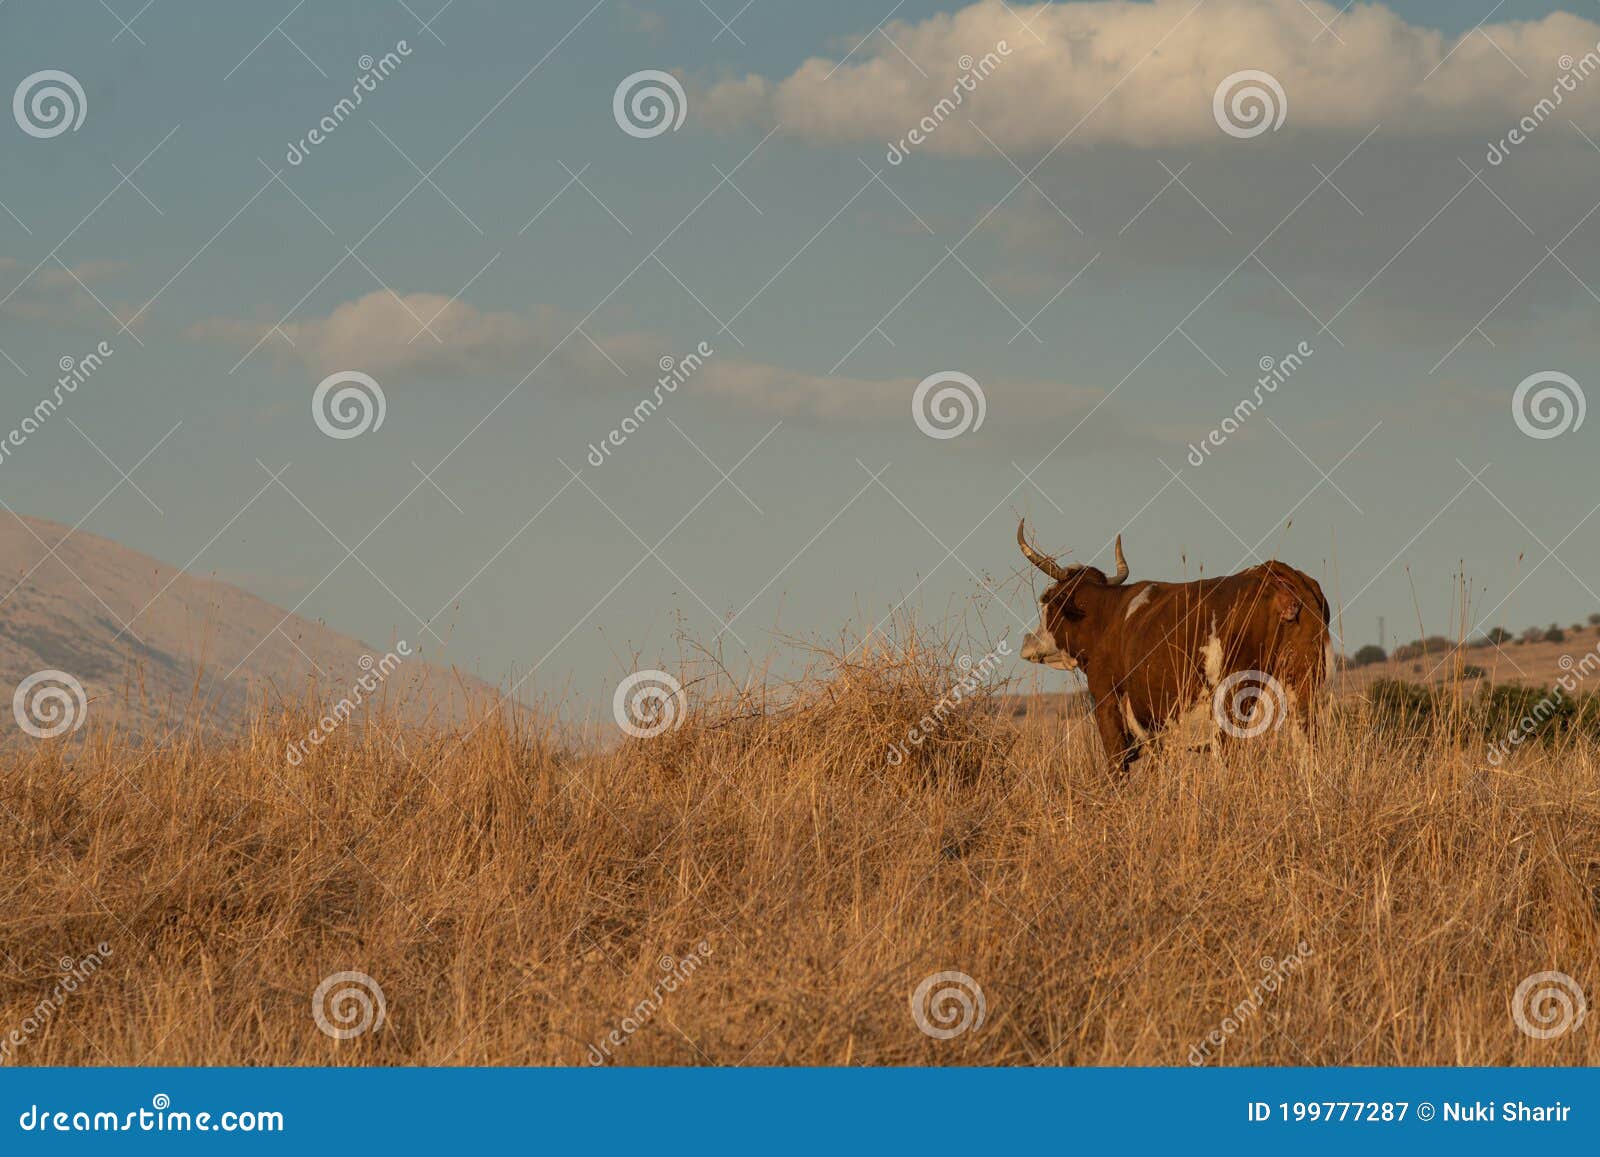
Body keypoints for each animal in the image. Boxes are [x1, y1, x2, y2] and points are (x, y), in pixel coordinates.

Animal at [1015, 520, 1331, 775]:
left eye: (1047, 599)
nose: (1027, 642)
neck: (1108, 614)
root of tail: (1274, 574)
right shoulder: (1156, 731)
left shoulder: (1106, 700)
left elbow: (1116, 768)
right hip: (1304, 689)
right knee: (1310, 751)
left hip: (1232, 699)